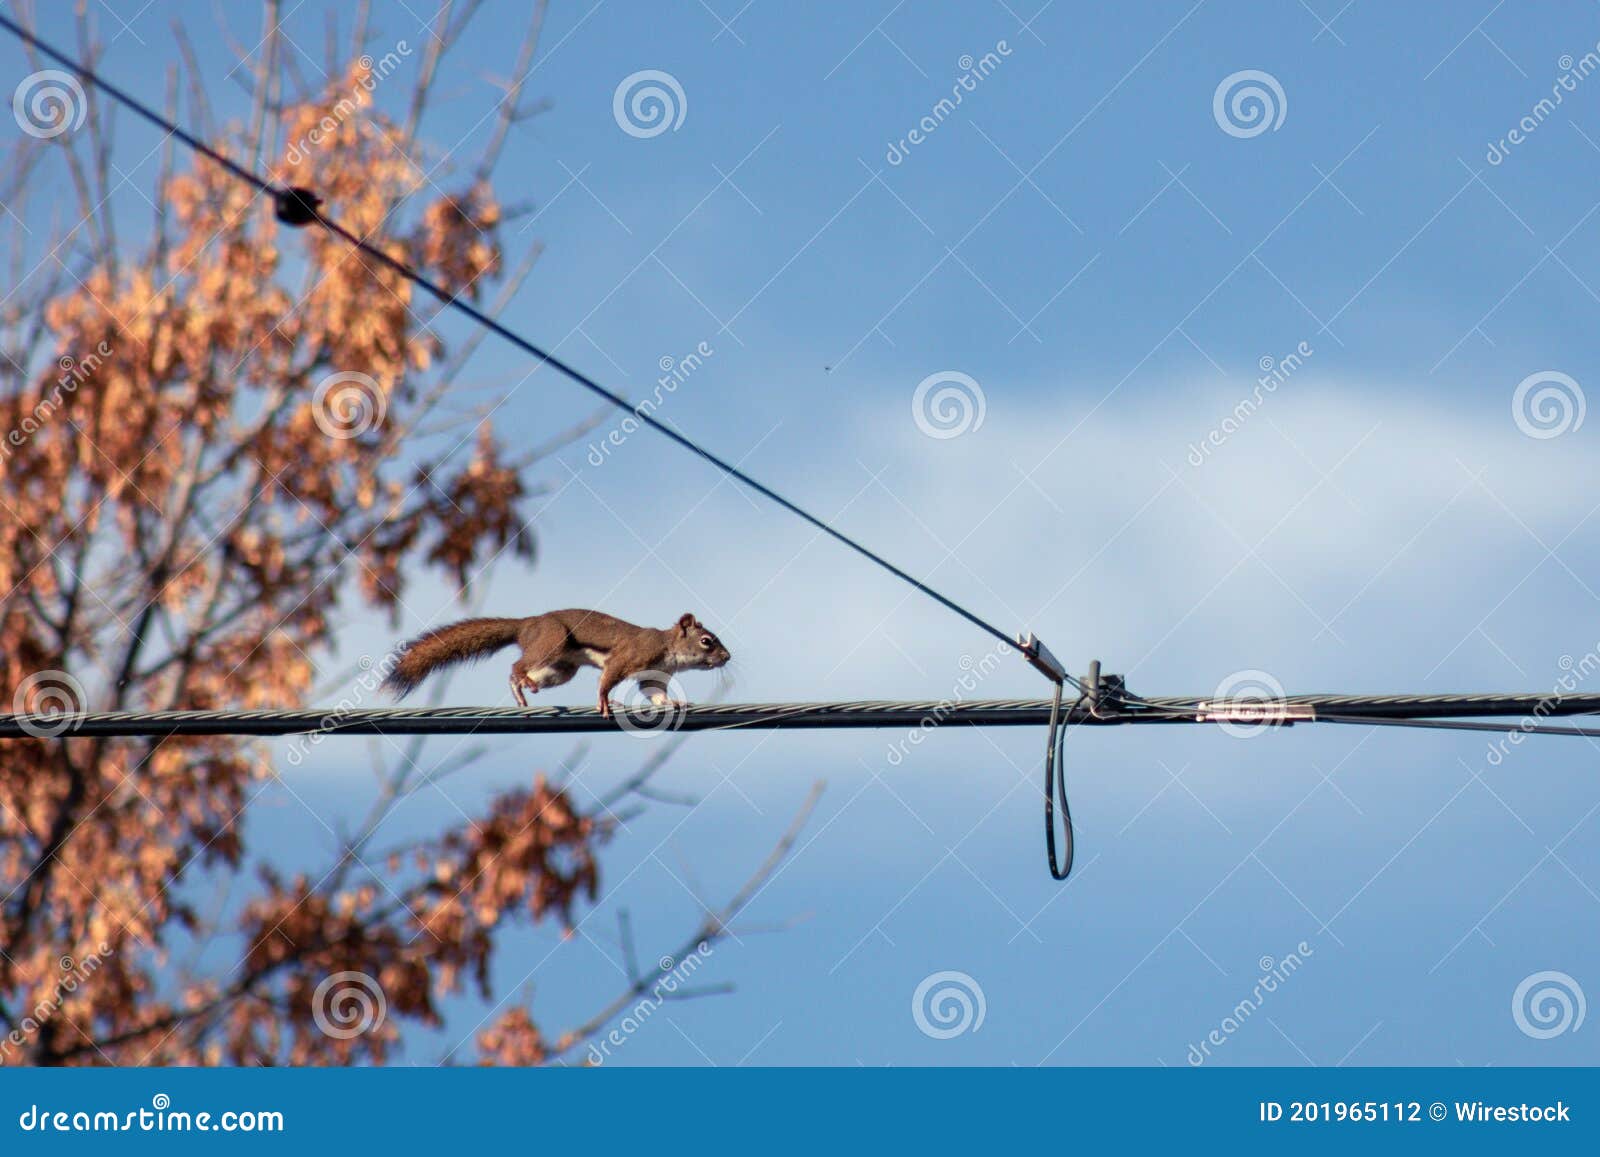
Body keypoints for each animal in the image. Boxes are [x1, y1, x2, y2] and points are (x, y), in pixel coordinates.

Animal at [381, 609, 731, 717]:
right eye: (706, 641)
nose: (727, 657)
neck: (668, 648)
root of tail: (526, 624)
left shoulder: (654, 675)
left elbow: (654, 692)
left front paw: (673, 702)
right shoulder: (631, 655)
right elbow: (609, 677)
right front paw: (604, 700)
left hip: (561, 670)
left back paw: (523, 690)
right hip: (552, 641)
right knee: (517, 667)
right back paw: (521, 682)